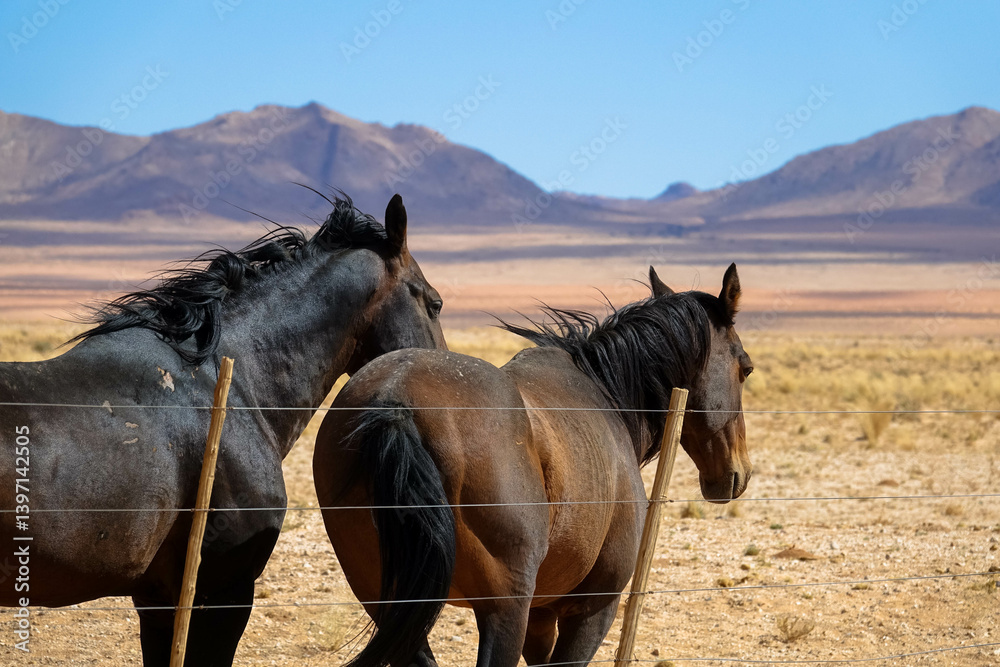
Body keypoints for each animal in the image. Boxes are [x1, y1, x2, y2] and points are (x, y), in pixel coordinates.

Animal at [313, 264, 753, 667]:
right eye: (746, 369)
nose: (738, 474)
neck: (606, 395)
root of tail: (394, 401)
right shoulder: (592, 609)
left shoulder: (540, 617)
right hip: (504, 611)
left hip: (395, 609)